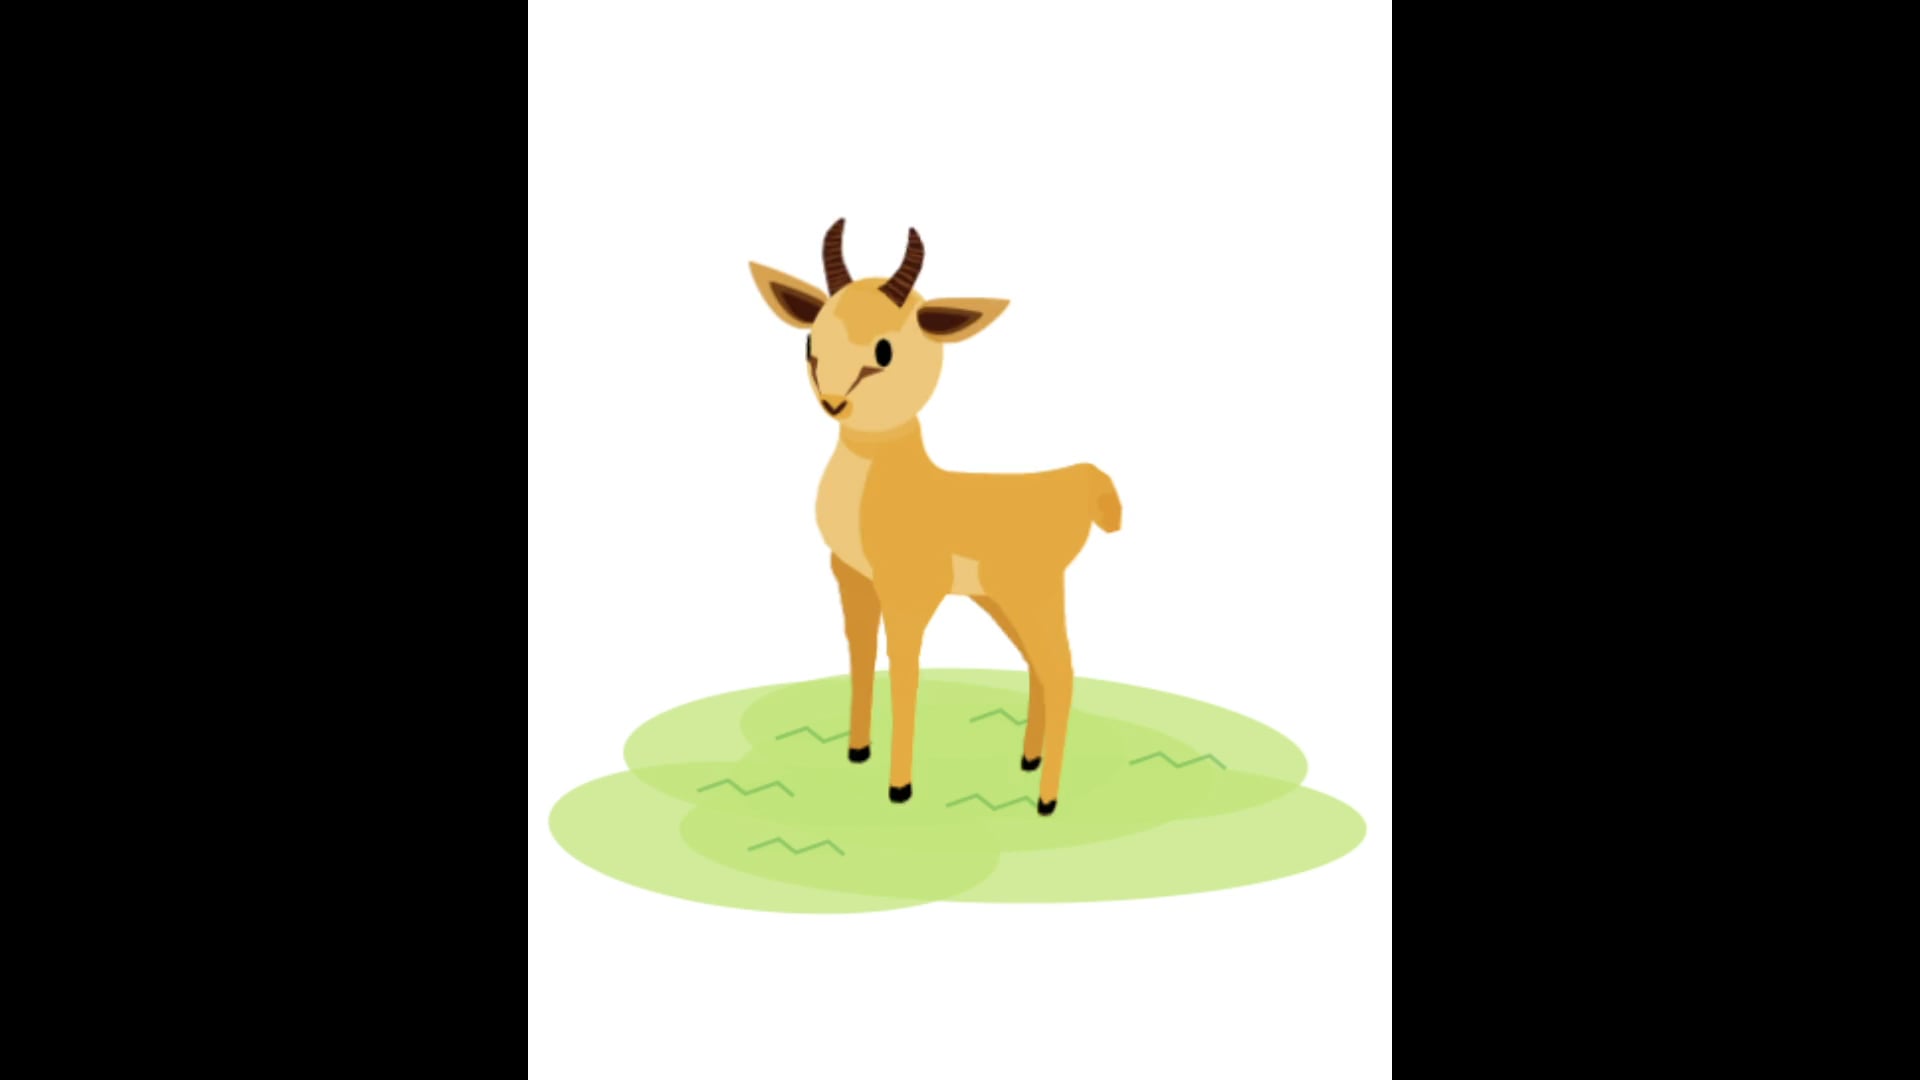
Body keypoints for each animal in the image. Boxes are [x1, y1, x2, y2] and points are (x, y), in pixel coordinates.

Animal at [748, 220, 1122, 816]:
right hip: (1002, 602)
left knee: (1062, 672)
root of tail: (1080, 478)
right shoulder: (853, 580)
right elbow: (860, 656)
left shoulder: (908, 593)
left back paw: (1046, 801)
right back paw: (1027, 760)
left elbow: (905, 672)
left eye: (884, 348)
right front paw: (858, 752)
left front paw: (899, 788)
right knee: (1039, 668)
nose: (832, 402)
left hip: (1031, 595)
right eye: (810, 340)